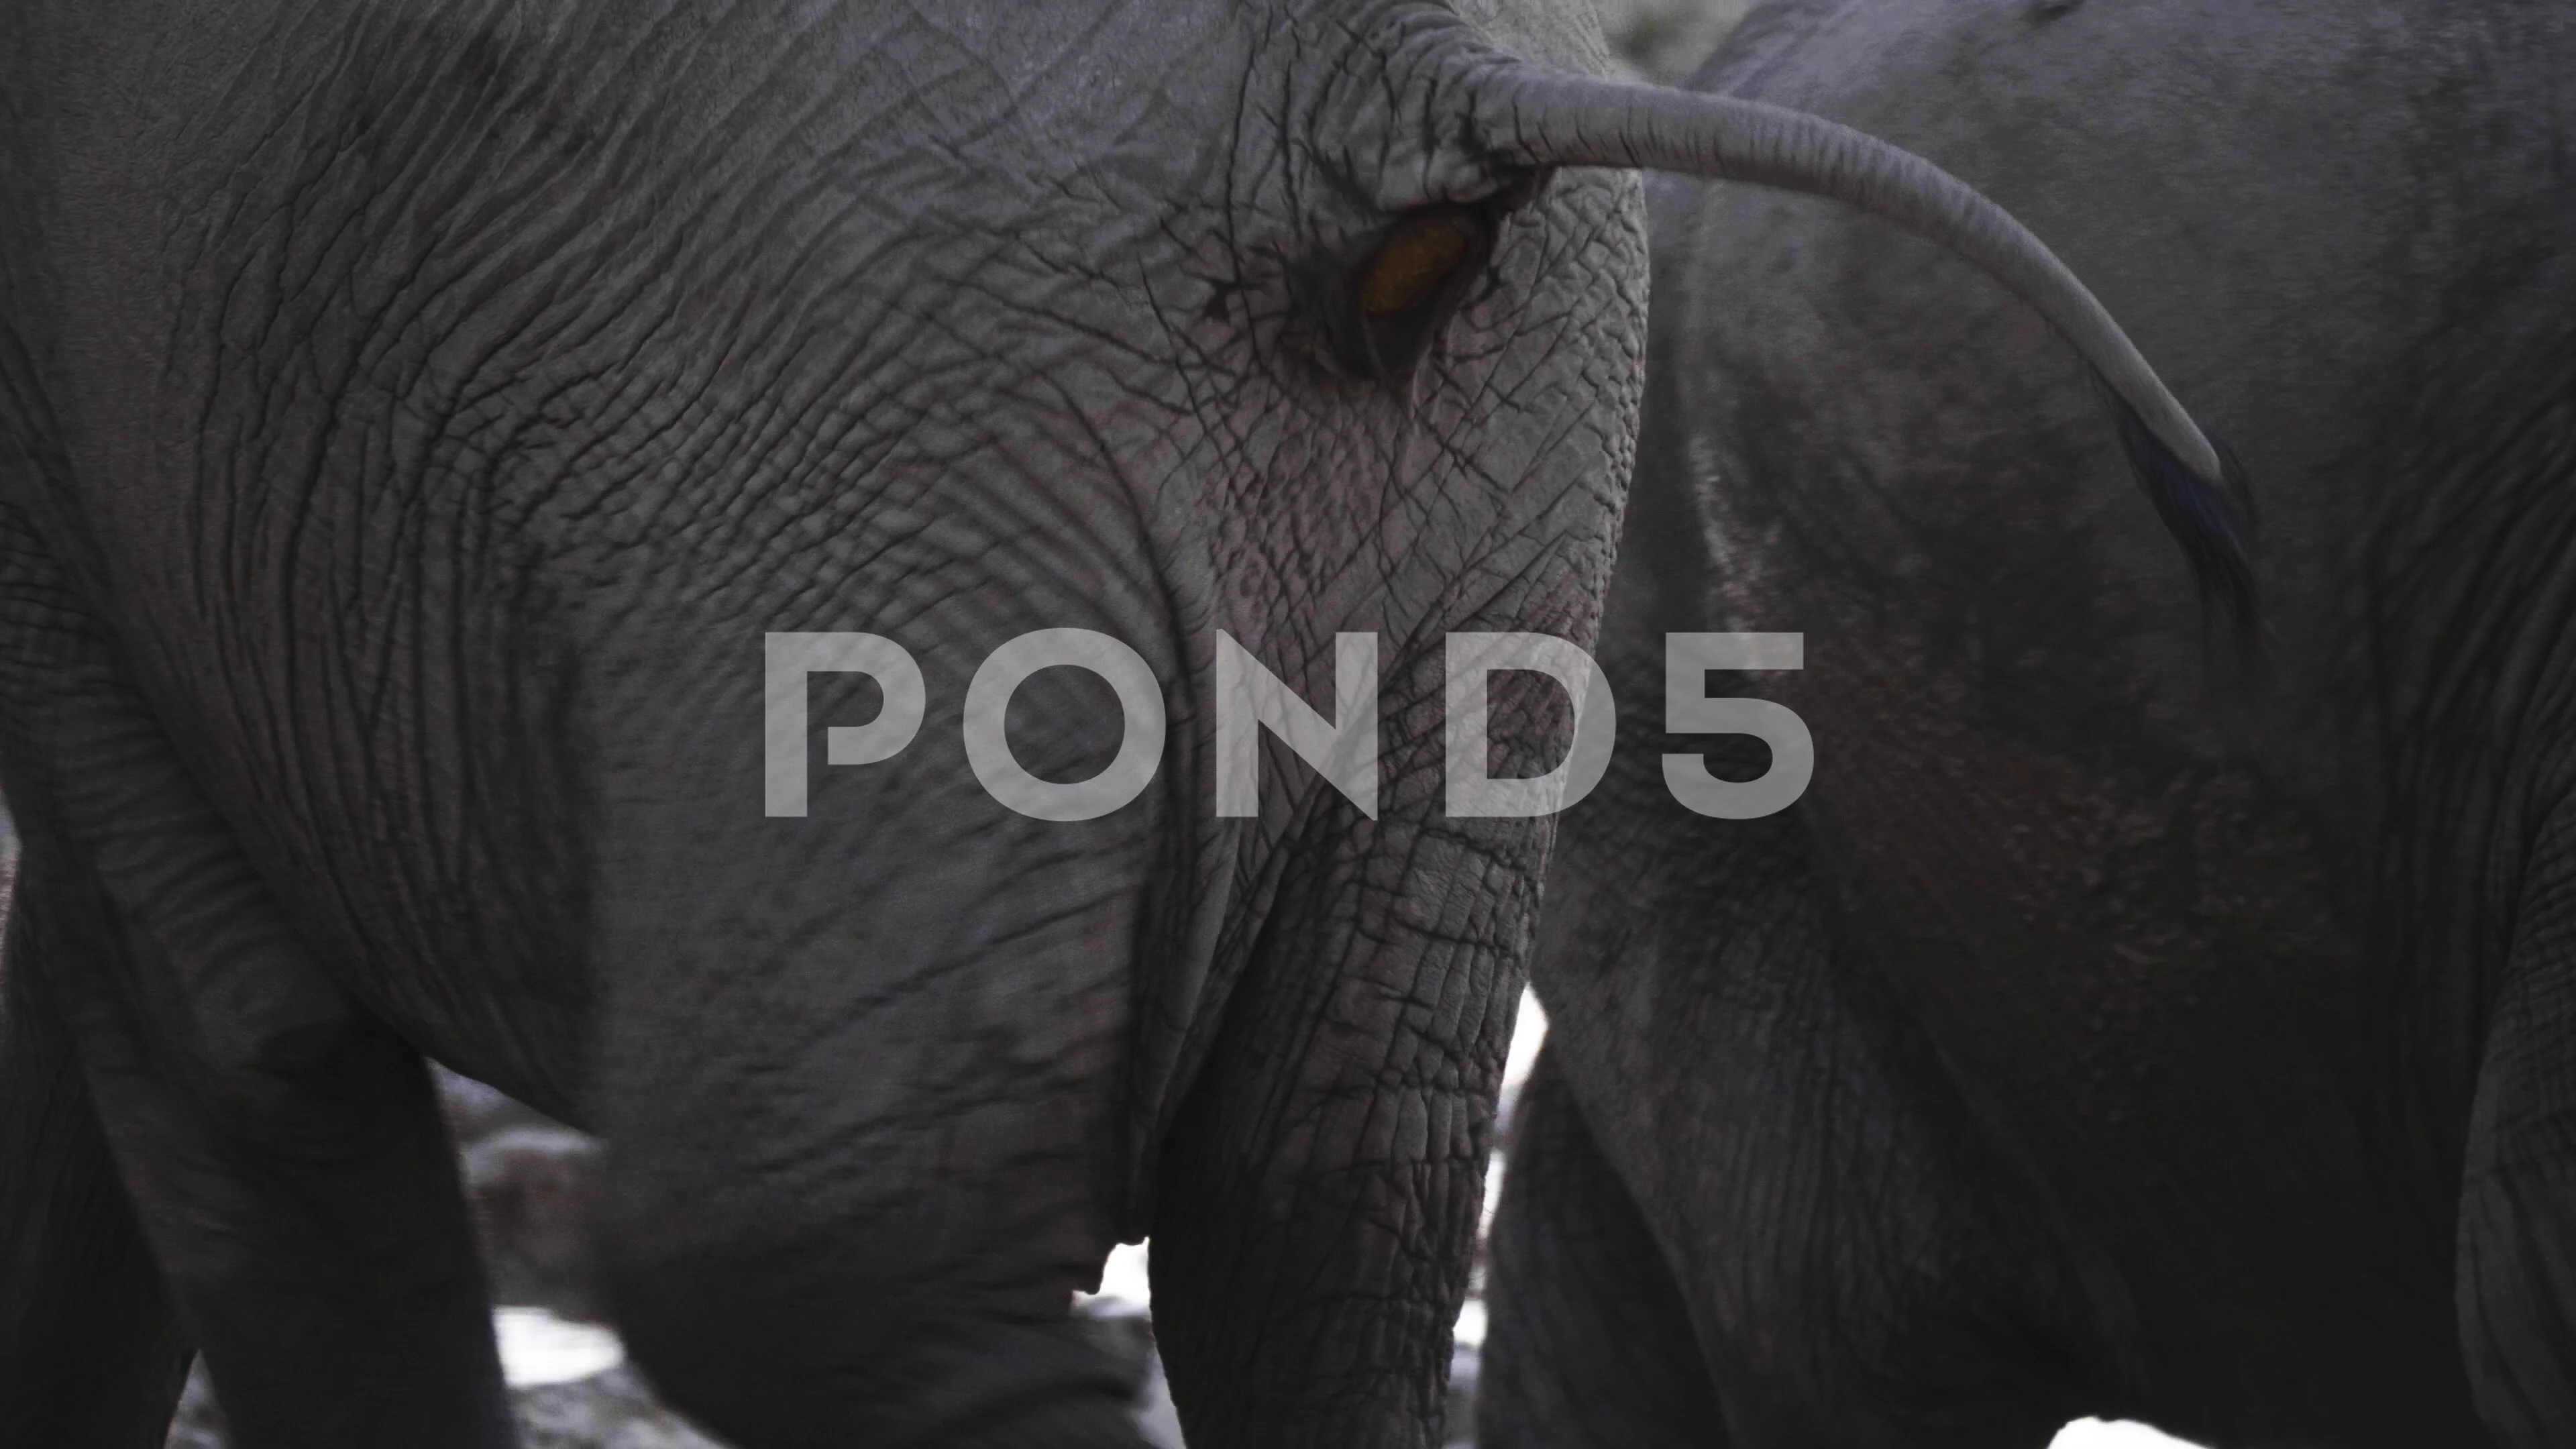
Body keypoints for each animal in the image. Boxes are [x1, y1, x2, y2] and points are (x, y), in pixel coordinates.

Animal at [0, 0, 2245, 1445]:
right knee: (1319, 1242)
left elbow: (243, 1054)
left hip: (878, 433)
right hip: (1495, 467)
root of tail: (1400, 81)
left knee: (809, 1268)